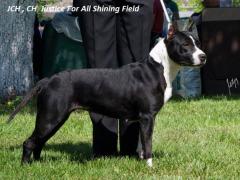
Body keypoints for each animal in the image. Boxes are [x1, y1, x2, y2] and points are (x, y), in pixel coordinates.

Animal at [7, 26, 206, 167]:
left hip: (55, 119)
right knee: (29, 142)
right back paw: (25, 167)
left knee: (39, 142)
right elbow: (148, 142)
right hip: (50, 117)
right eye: (185, 45)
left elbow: (142, 142)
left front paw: (142, 160)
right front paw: (150, 166)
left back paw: (38, 164)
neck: (159, 67)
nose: (203, 56)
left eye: (197, 42)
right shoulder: (147, 116)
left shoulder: (144, 119)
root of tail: (48, 79)